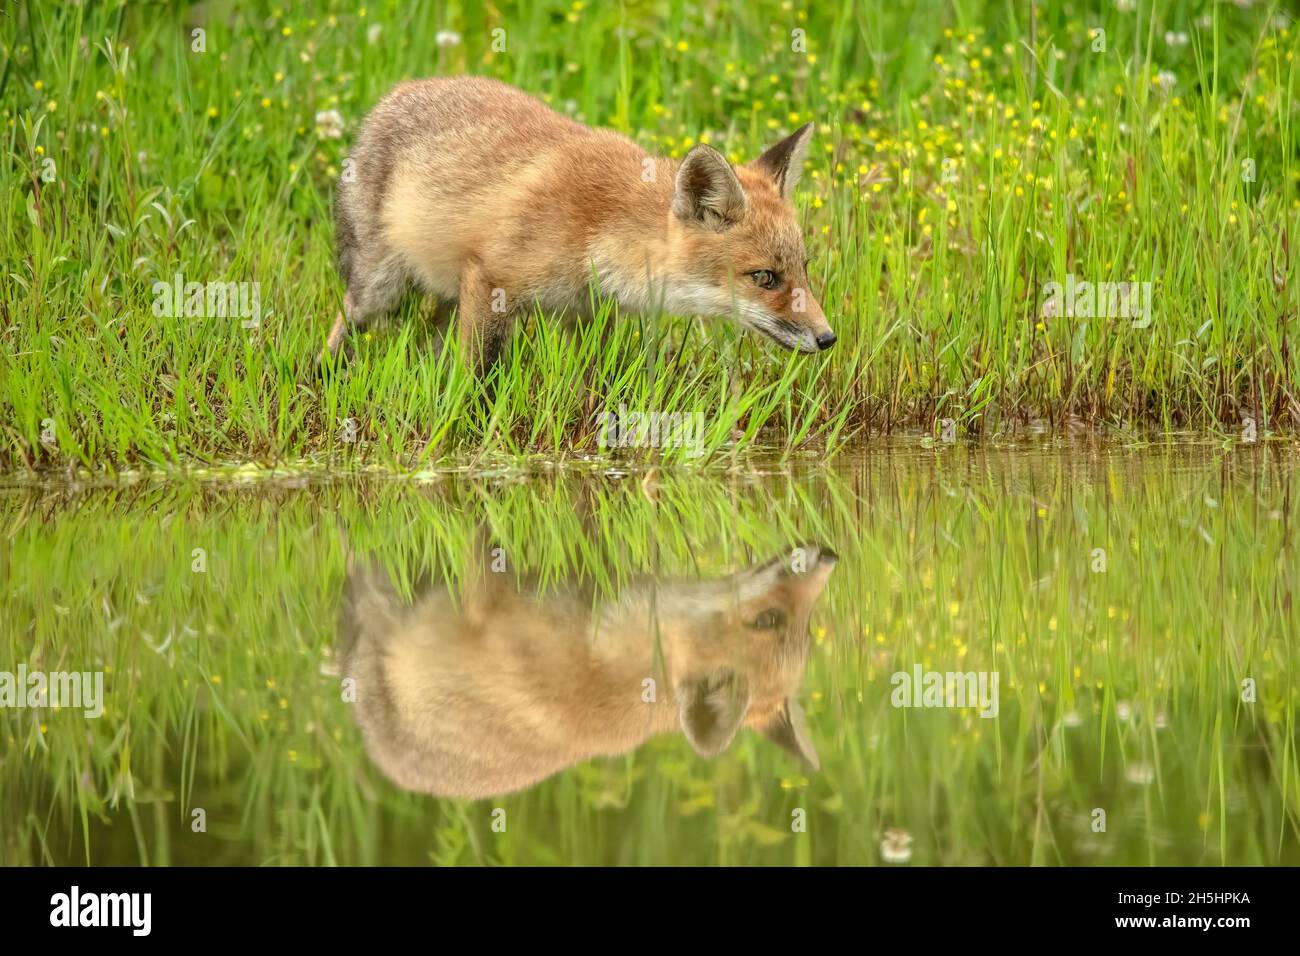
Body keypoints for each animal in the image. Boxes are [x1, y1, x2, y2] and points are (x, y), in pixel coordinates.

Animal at [329, 76, 835, 371]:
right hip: (379, 289)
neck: (598, 232)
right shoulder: (492, 281)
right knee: (346, 319)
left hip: (447, 296)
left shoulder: (589, 315)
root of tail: (399, 89)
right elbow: (479, 375)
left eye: (804, 269)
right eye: (765, 277)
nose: (828, 338)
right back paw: (327, 372)